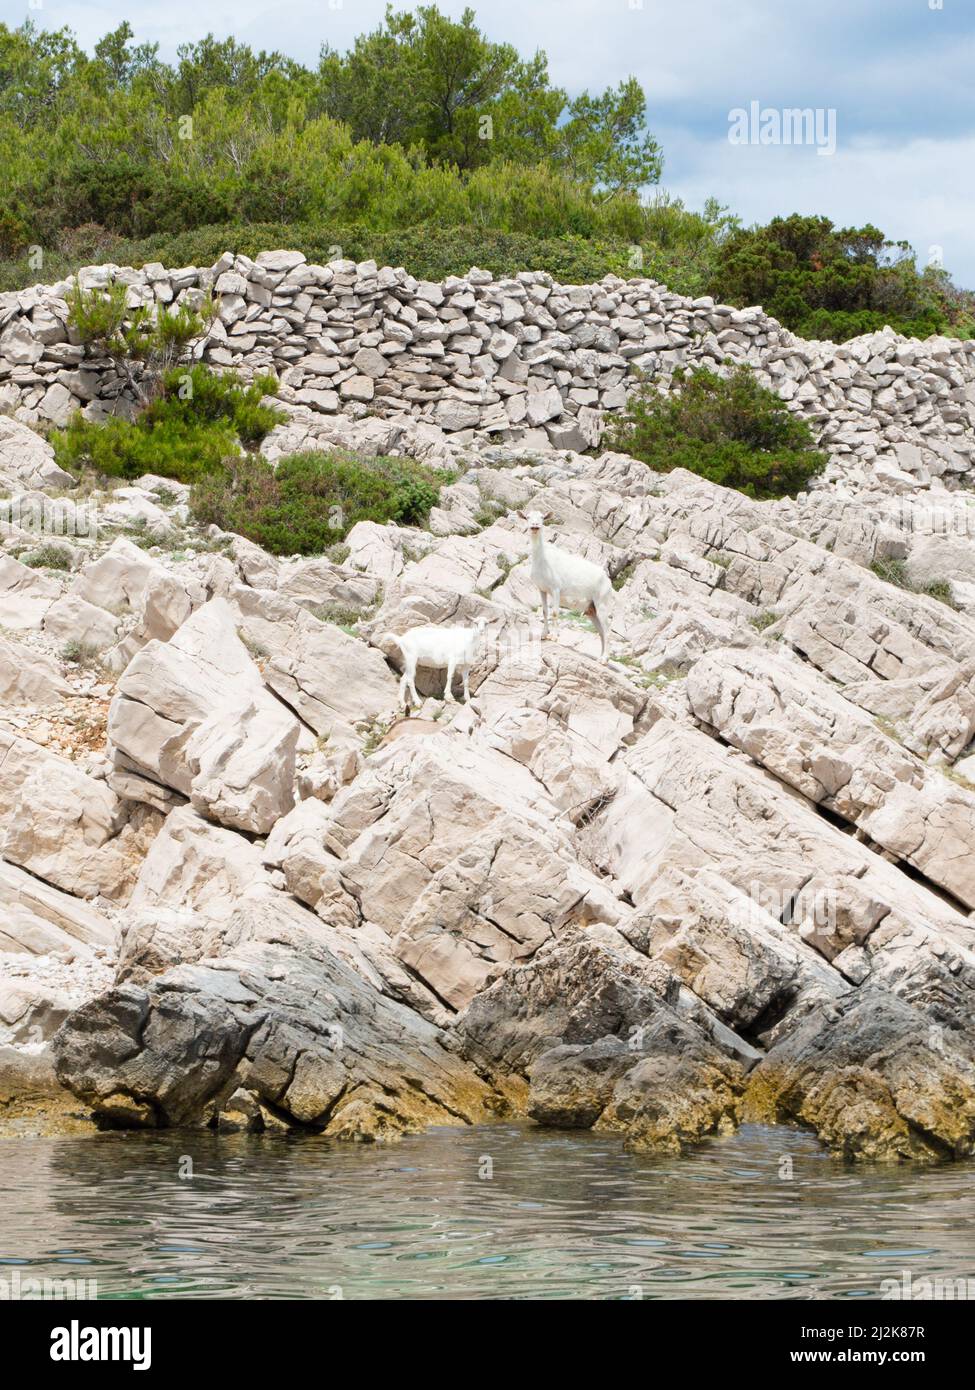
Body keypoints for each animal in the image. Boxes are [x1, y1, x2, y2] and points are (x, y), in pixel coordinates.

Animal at [518, 509, 613, 661]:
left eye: (542, 517)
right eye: (527, 517)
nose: (535, 525)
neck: (543, 560)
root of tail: (608, 581)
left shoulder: (556, 589)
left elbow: (555, 612)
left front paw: (554, 637)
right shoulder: (542, 589)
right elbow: (545, 611)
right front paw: (544, 634)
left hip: (602, 603)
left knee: (607, 631)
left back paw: (604, 660)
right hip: (592, 610)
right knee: (601, 632)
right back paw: (600, 657)